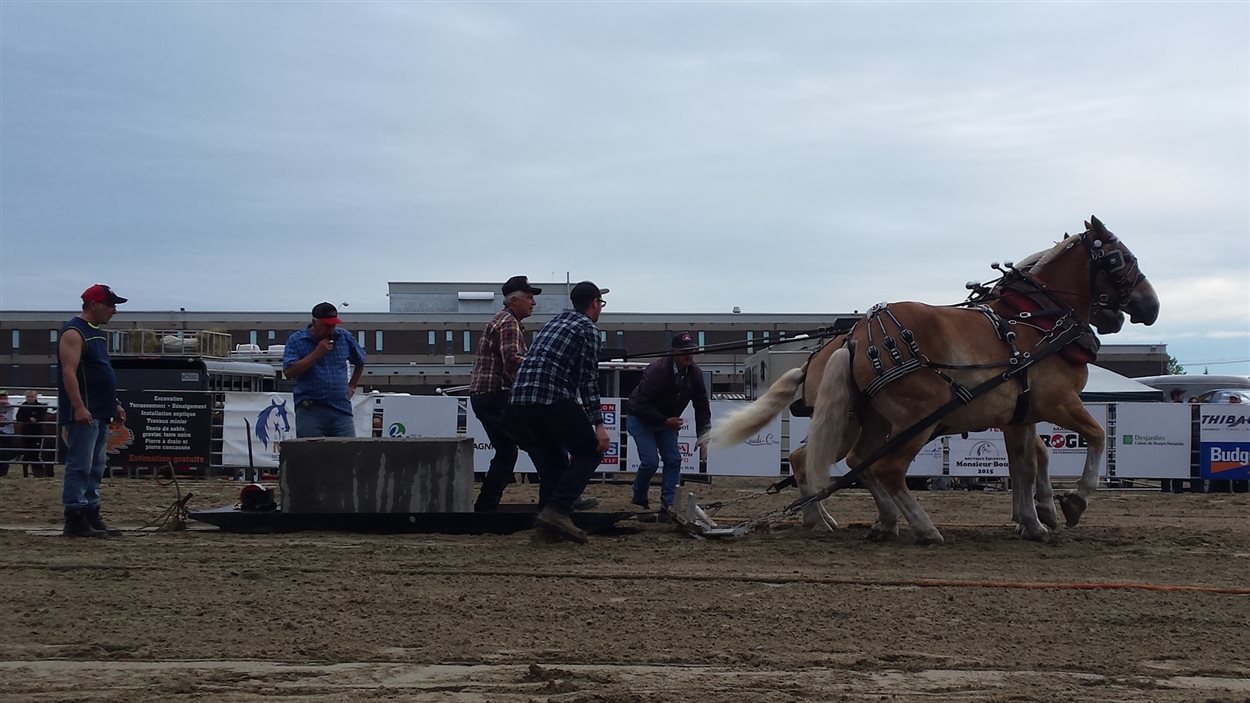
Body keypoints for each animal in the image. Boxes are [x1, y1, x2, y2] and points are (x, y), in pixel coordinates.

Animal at [713, 216, 1157, 543]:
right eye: (1121, 258)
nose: (1150, 306)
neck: (1038, 319)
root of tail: (854, 337)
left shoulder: (1020, 414)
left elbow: (1027, 463)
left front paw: (1033, 519)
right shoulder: (1058, 401)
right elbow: (1095, 436)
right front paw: (1072, 502)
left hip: (871, 420)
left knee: (842, 462)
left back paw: (865, 521)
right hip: (914, 417)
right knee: (881, 468)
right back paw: (918, 527)